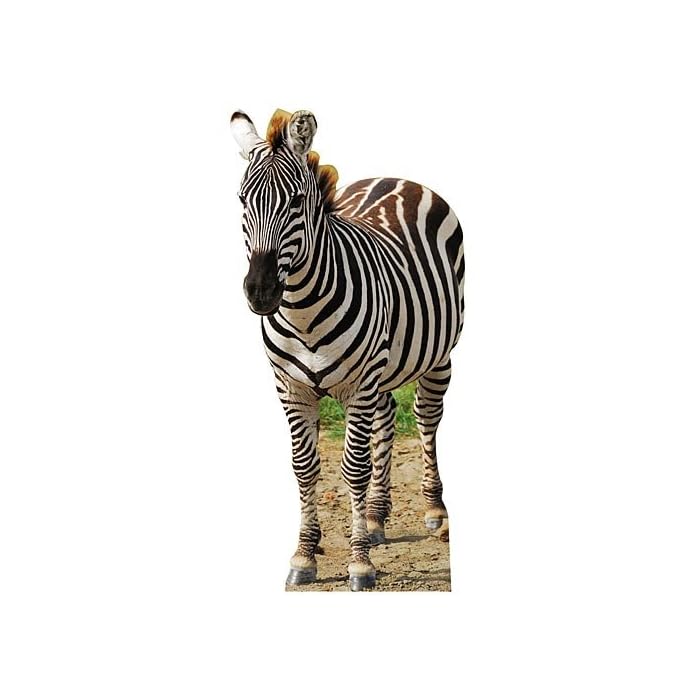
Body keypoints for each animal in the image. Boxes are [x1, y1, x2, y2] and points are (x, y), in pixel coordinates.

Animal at [230, 108, 465, 591]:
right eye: (243, 201)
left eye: (297, 201)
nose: (260, 292)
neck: (302, 307)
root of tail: (395, 178)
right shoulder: (291, 387)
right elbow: (304, 467)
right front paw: (305, 554)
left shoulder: (359, 384)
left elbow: (353, 469)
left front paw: (359, 564)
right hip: (384, 366)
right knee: (388, 415)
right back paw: (375, 516)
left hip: (436, 356)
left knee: (426, 419)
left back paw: (434, 512)